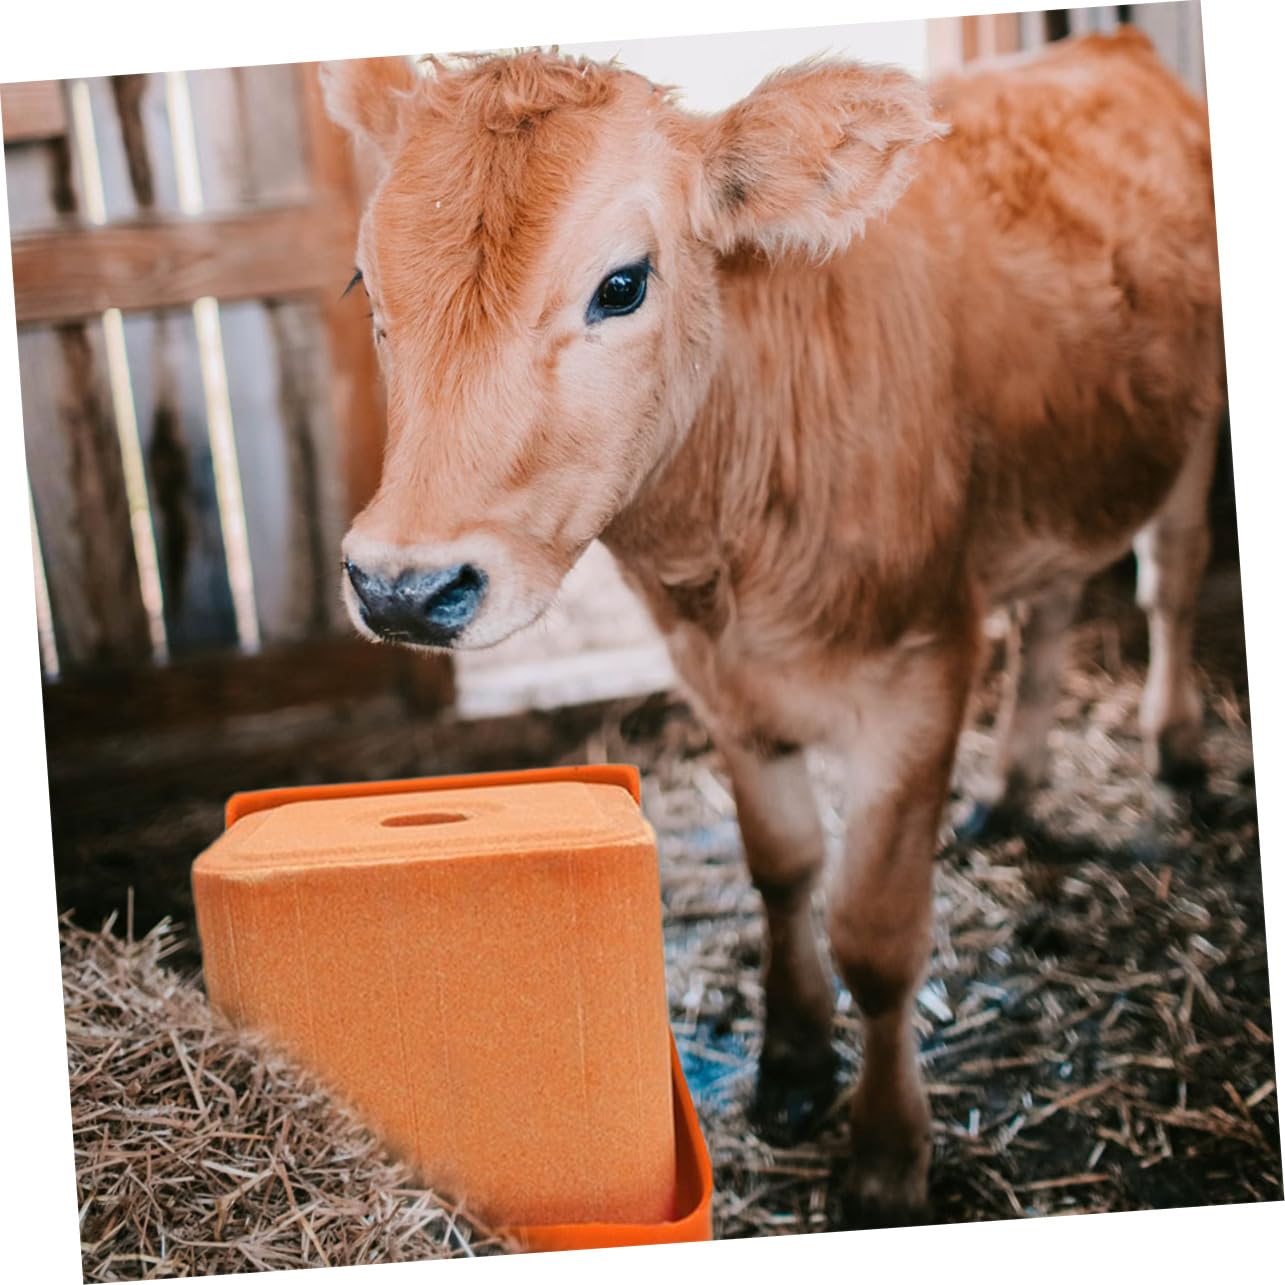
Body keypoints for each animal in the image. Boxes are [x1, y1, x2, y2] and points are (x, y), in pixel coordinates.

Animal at [321, 28, 1224, 1224]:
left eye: (622, 284)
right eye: (365, 282)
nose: (403, 587)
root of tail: (1109, 43)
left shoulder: (922, 666)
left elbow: (876, 936)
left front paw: (885, 1155)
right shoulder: (718, 679)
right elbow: (784, 866)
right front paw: (792, 1060)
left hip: (1196, 421)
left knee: (1169, 577)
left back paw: (1176, 750)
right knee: (1053, 603)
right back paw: (1012, 788)